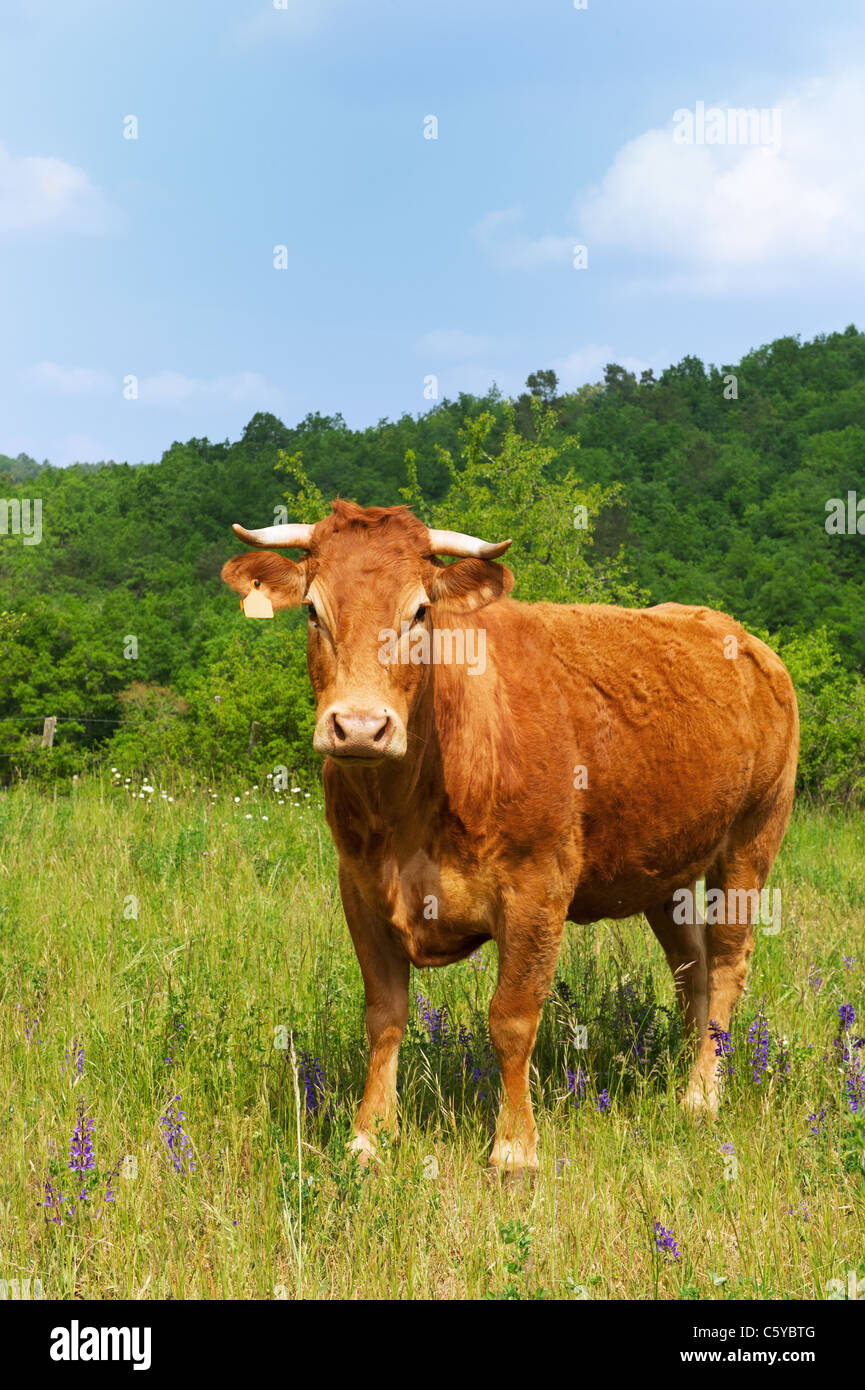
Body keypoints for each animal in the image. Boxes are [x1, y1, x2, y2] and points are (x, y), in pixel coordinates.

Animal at [222, 499, 799, 1175]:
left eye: (421, 611)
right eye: (313, 610)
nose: (360, 727)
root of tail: (741, 636)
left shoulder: (537, 888)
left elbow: (513, 1018)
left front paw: (515, 1146)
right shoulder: (360, 889)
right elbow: (384, 1015)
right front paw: (369, 1136)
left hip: (750, 842)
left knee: (730, 961)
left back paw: (702, 1094)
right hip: (667, 869)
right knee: (693, 971)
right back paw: (684, 1072)